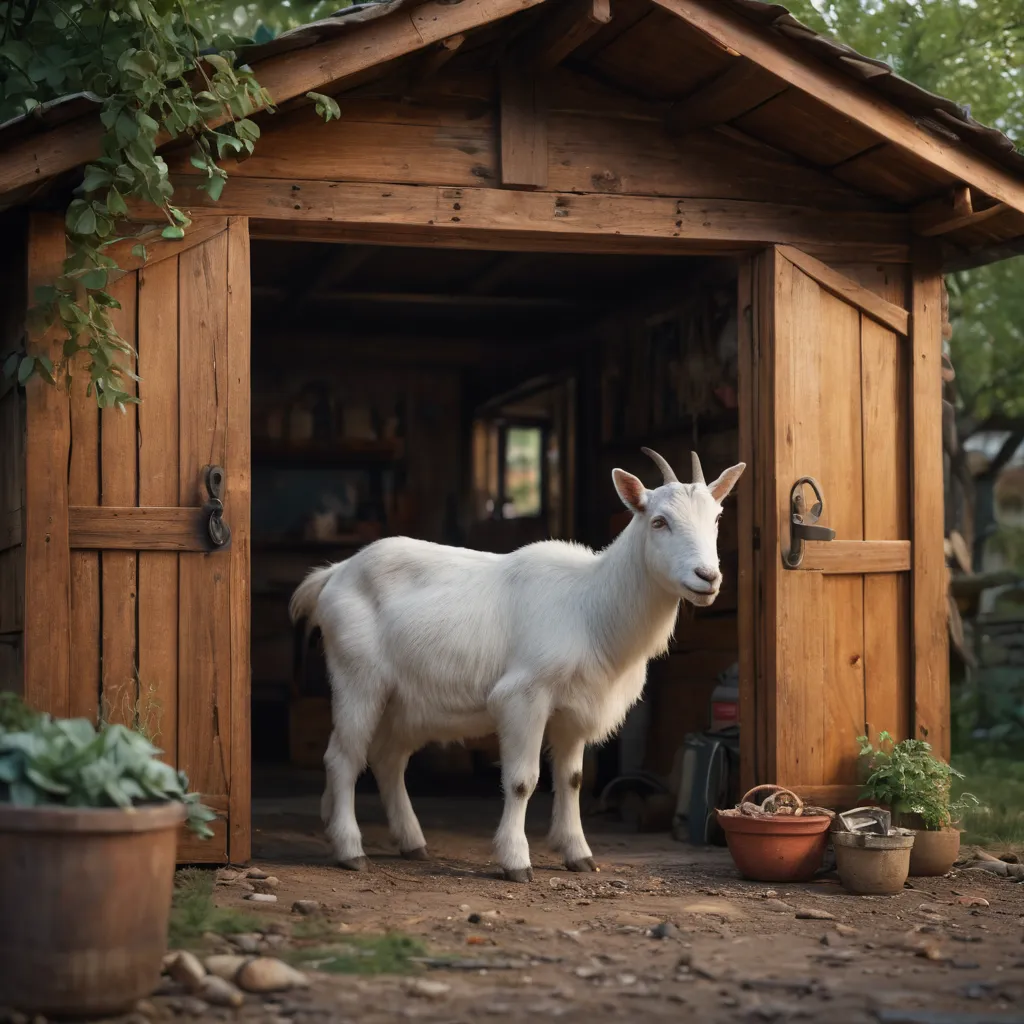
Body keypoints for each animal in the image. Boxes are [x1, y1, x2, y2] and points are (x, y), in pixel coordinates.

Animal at [289, 448, 745, 881]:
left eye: (718, 518)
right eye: (659, 521)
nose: (707, 577)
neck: (591, 605)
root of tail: (334, 574)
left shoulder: (574, 709)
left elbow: (572, 779)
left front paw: (578, 855)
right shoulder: (524, 695)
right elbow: (523, 780)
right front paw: (515, 862)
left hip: (406, 701)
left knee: (388, 759)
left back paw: (411, 842)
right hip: (358, 679)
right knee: (343, 757)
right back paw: (351, 850)